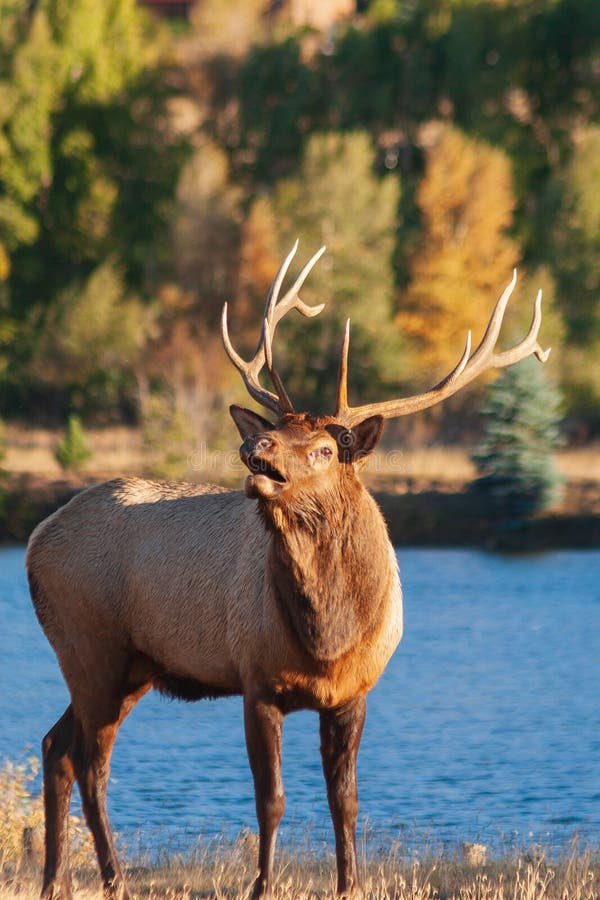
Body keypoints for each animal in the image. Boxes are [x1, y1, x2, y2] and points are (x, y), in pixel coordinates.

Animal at [26, 242, 549, 900]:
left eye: (327, 449)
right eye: (275, 429)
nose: (257, 449)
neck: (327, 636)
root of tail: (33, 540)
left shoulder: (355, 691)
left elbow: (345, 800)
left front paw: (350, 884)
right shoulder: (256, 680)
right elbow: (270, 799)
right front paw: (261, 885)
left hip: (129, 667)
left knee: (57, 747)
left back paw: (55, 881)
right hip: (91, 647)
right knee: (92, 764)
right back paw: (113, 878)